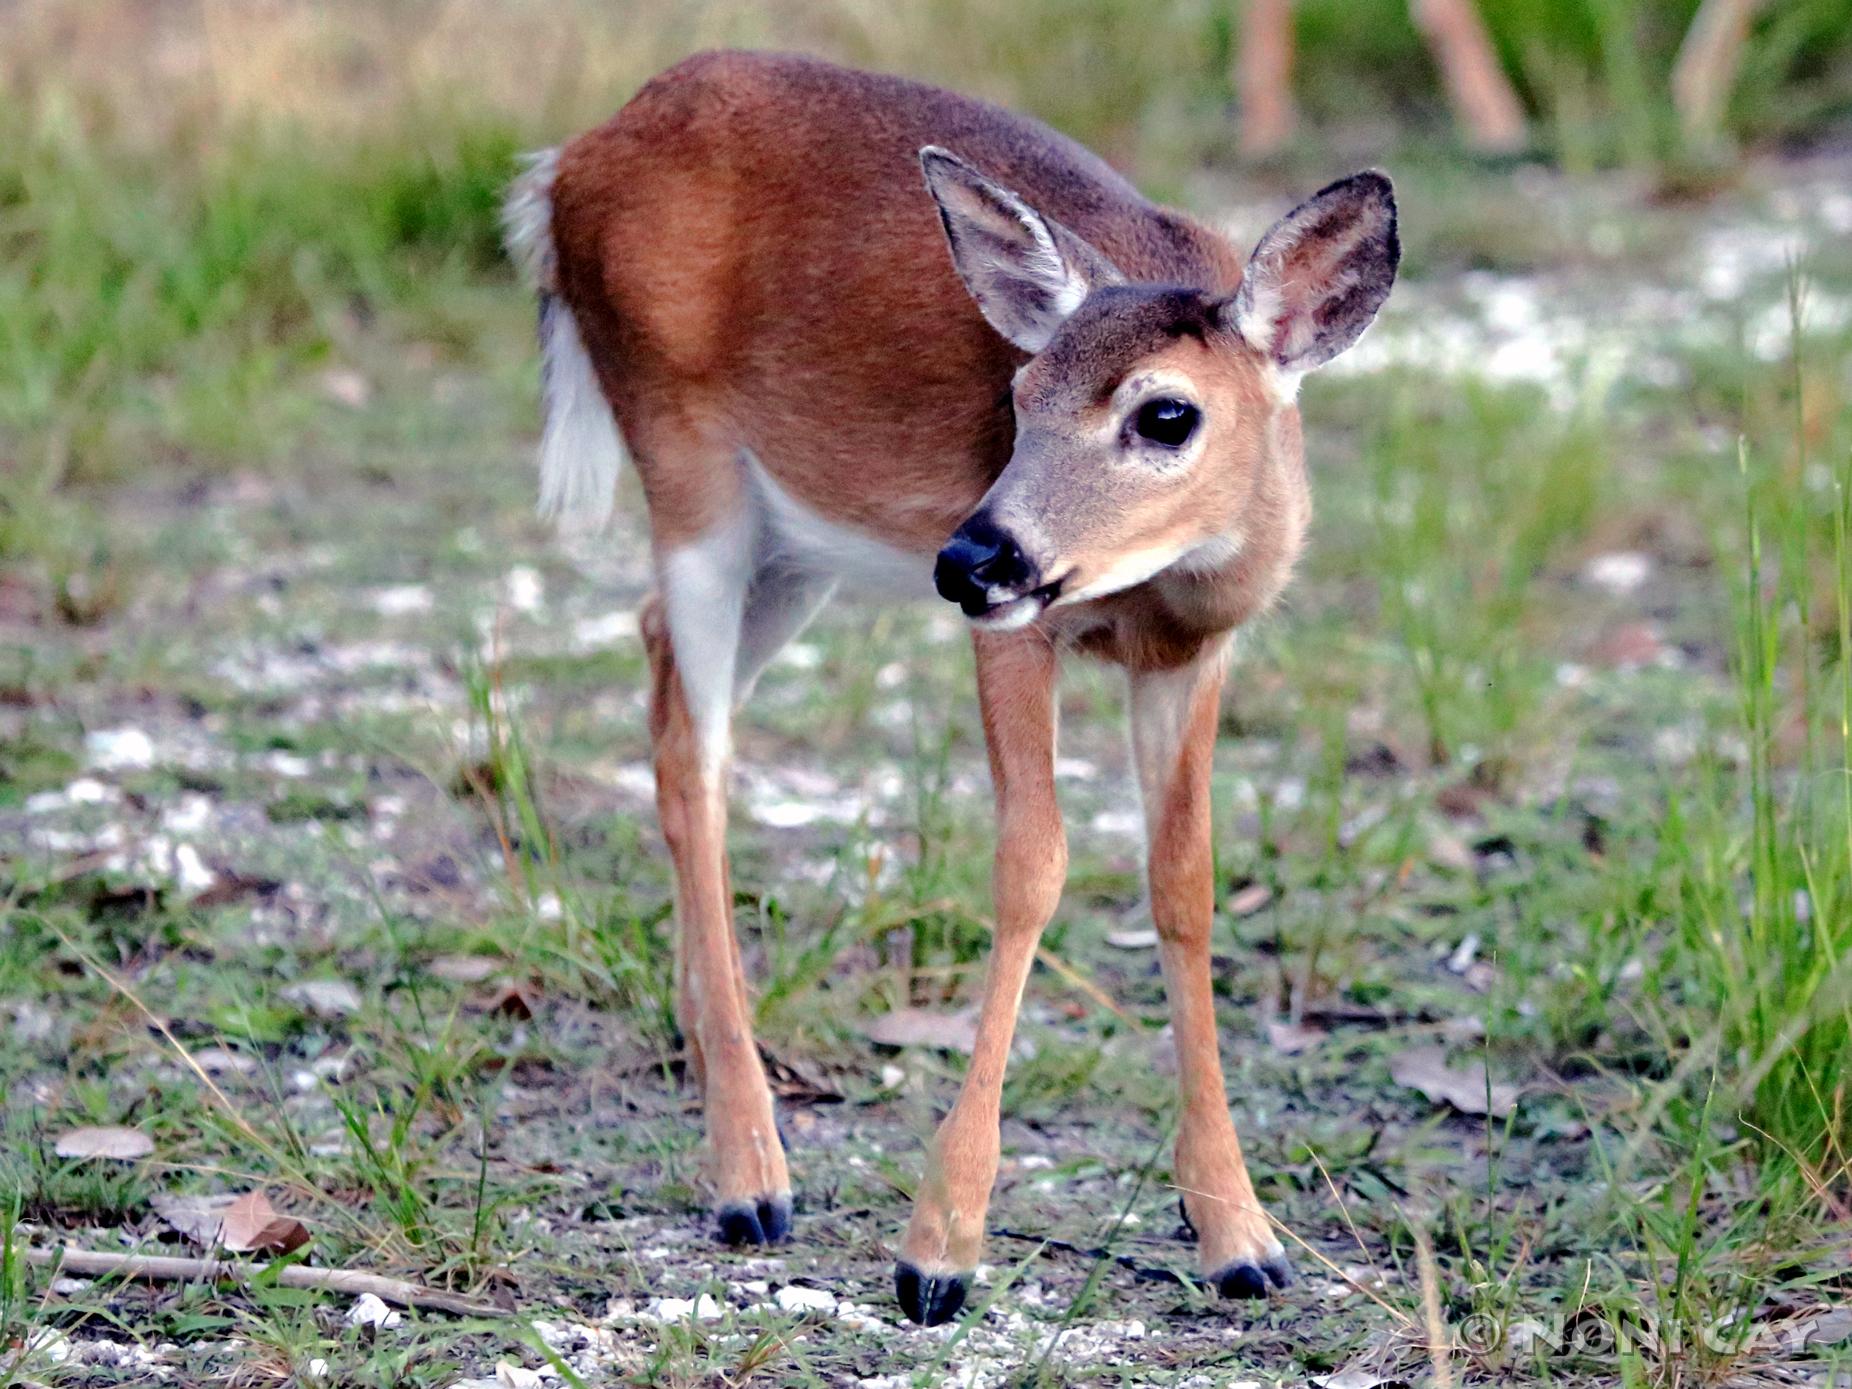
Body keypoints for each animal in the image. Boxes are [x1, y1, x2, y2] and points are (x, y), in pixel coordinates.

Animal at [503, 49, 1398, 1327]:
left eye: (1165, 412)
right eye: (1016, 402)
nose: (970, 557)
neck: (1159, 585)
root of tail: (565, 166)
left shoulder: (1195, 654)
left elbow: (1183, 883)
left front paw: (1240, 1235)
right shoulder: (1015, 637)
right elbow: (1032, 868)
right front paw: (940, 1250)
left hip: (796, 545)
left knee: (659, 665)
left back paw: (703, 1038)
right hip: (684, 458)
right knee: (693, 760)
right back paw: (749, 1175)